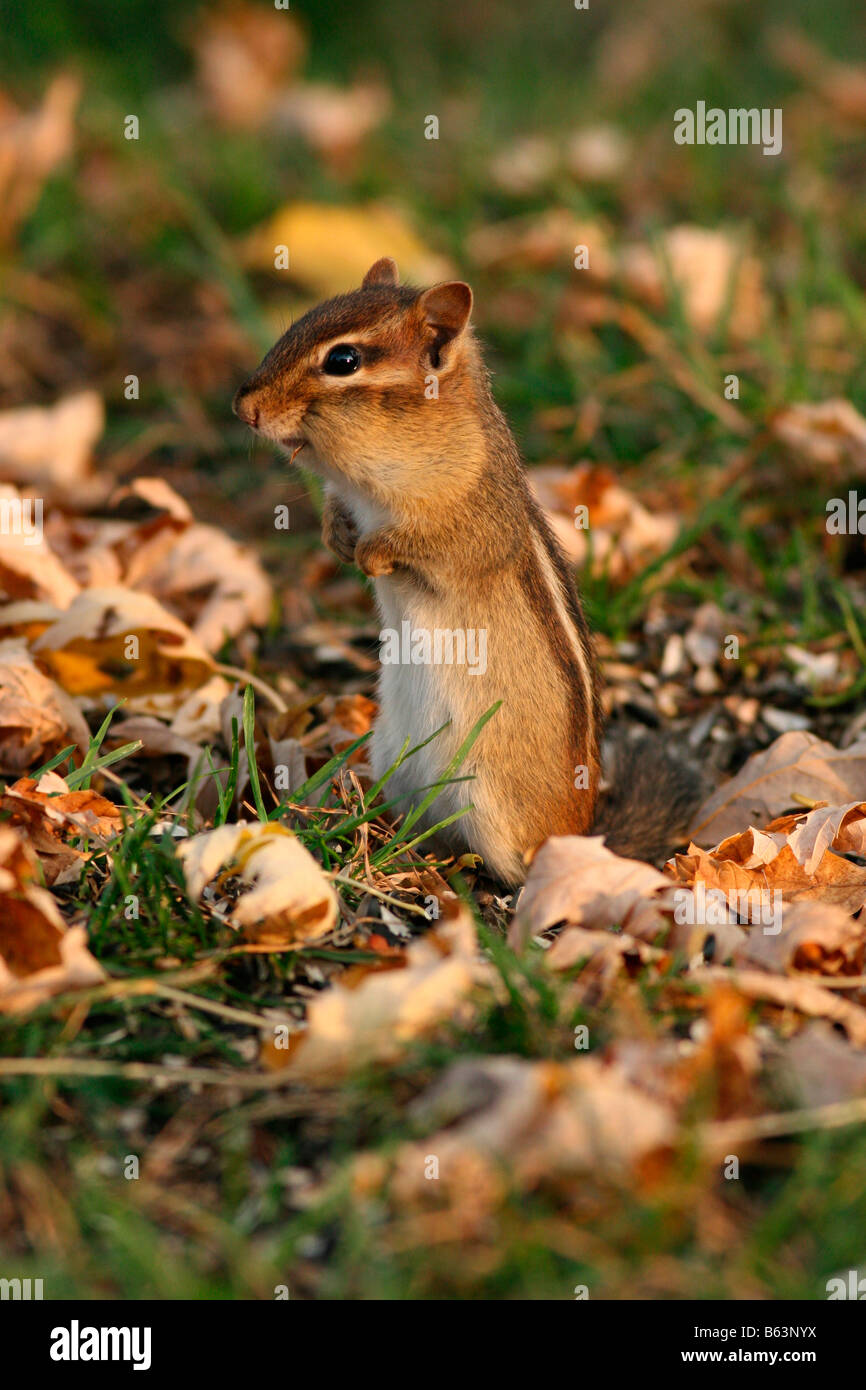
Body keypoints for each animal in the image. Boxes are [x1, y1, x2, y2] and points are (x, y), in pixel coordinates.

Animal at [233, 257, 701, 885]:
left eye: (343, 361)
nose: (243, 407)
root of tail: (581, 834)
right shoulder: (347, 493)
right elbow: (336, 510)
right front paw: (340, 539)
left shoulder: (469, 521)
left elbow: (429, 544)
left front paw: (372, 553)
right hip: (395, 761)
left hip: (489, 805)